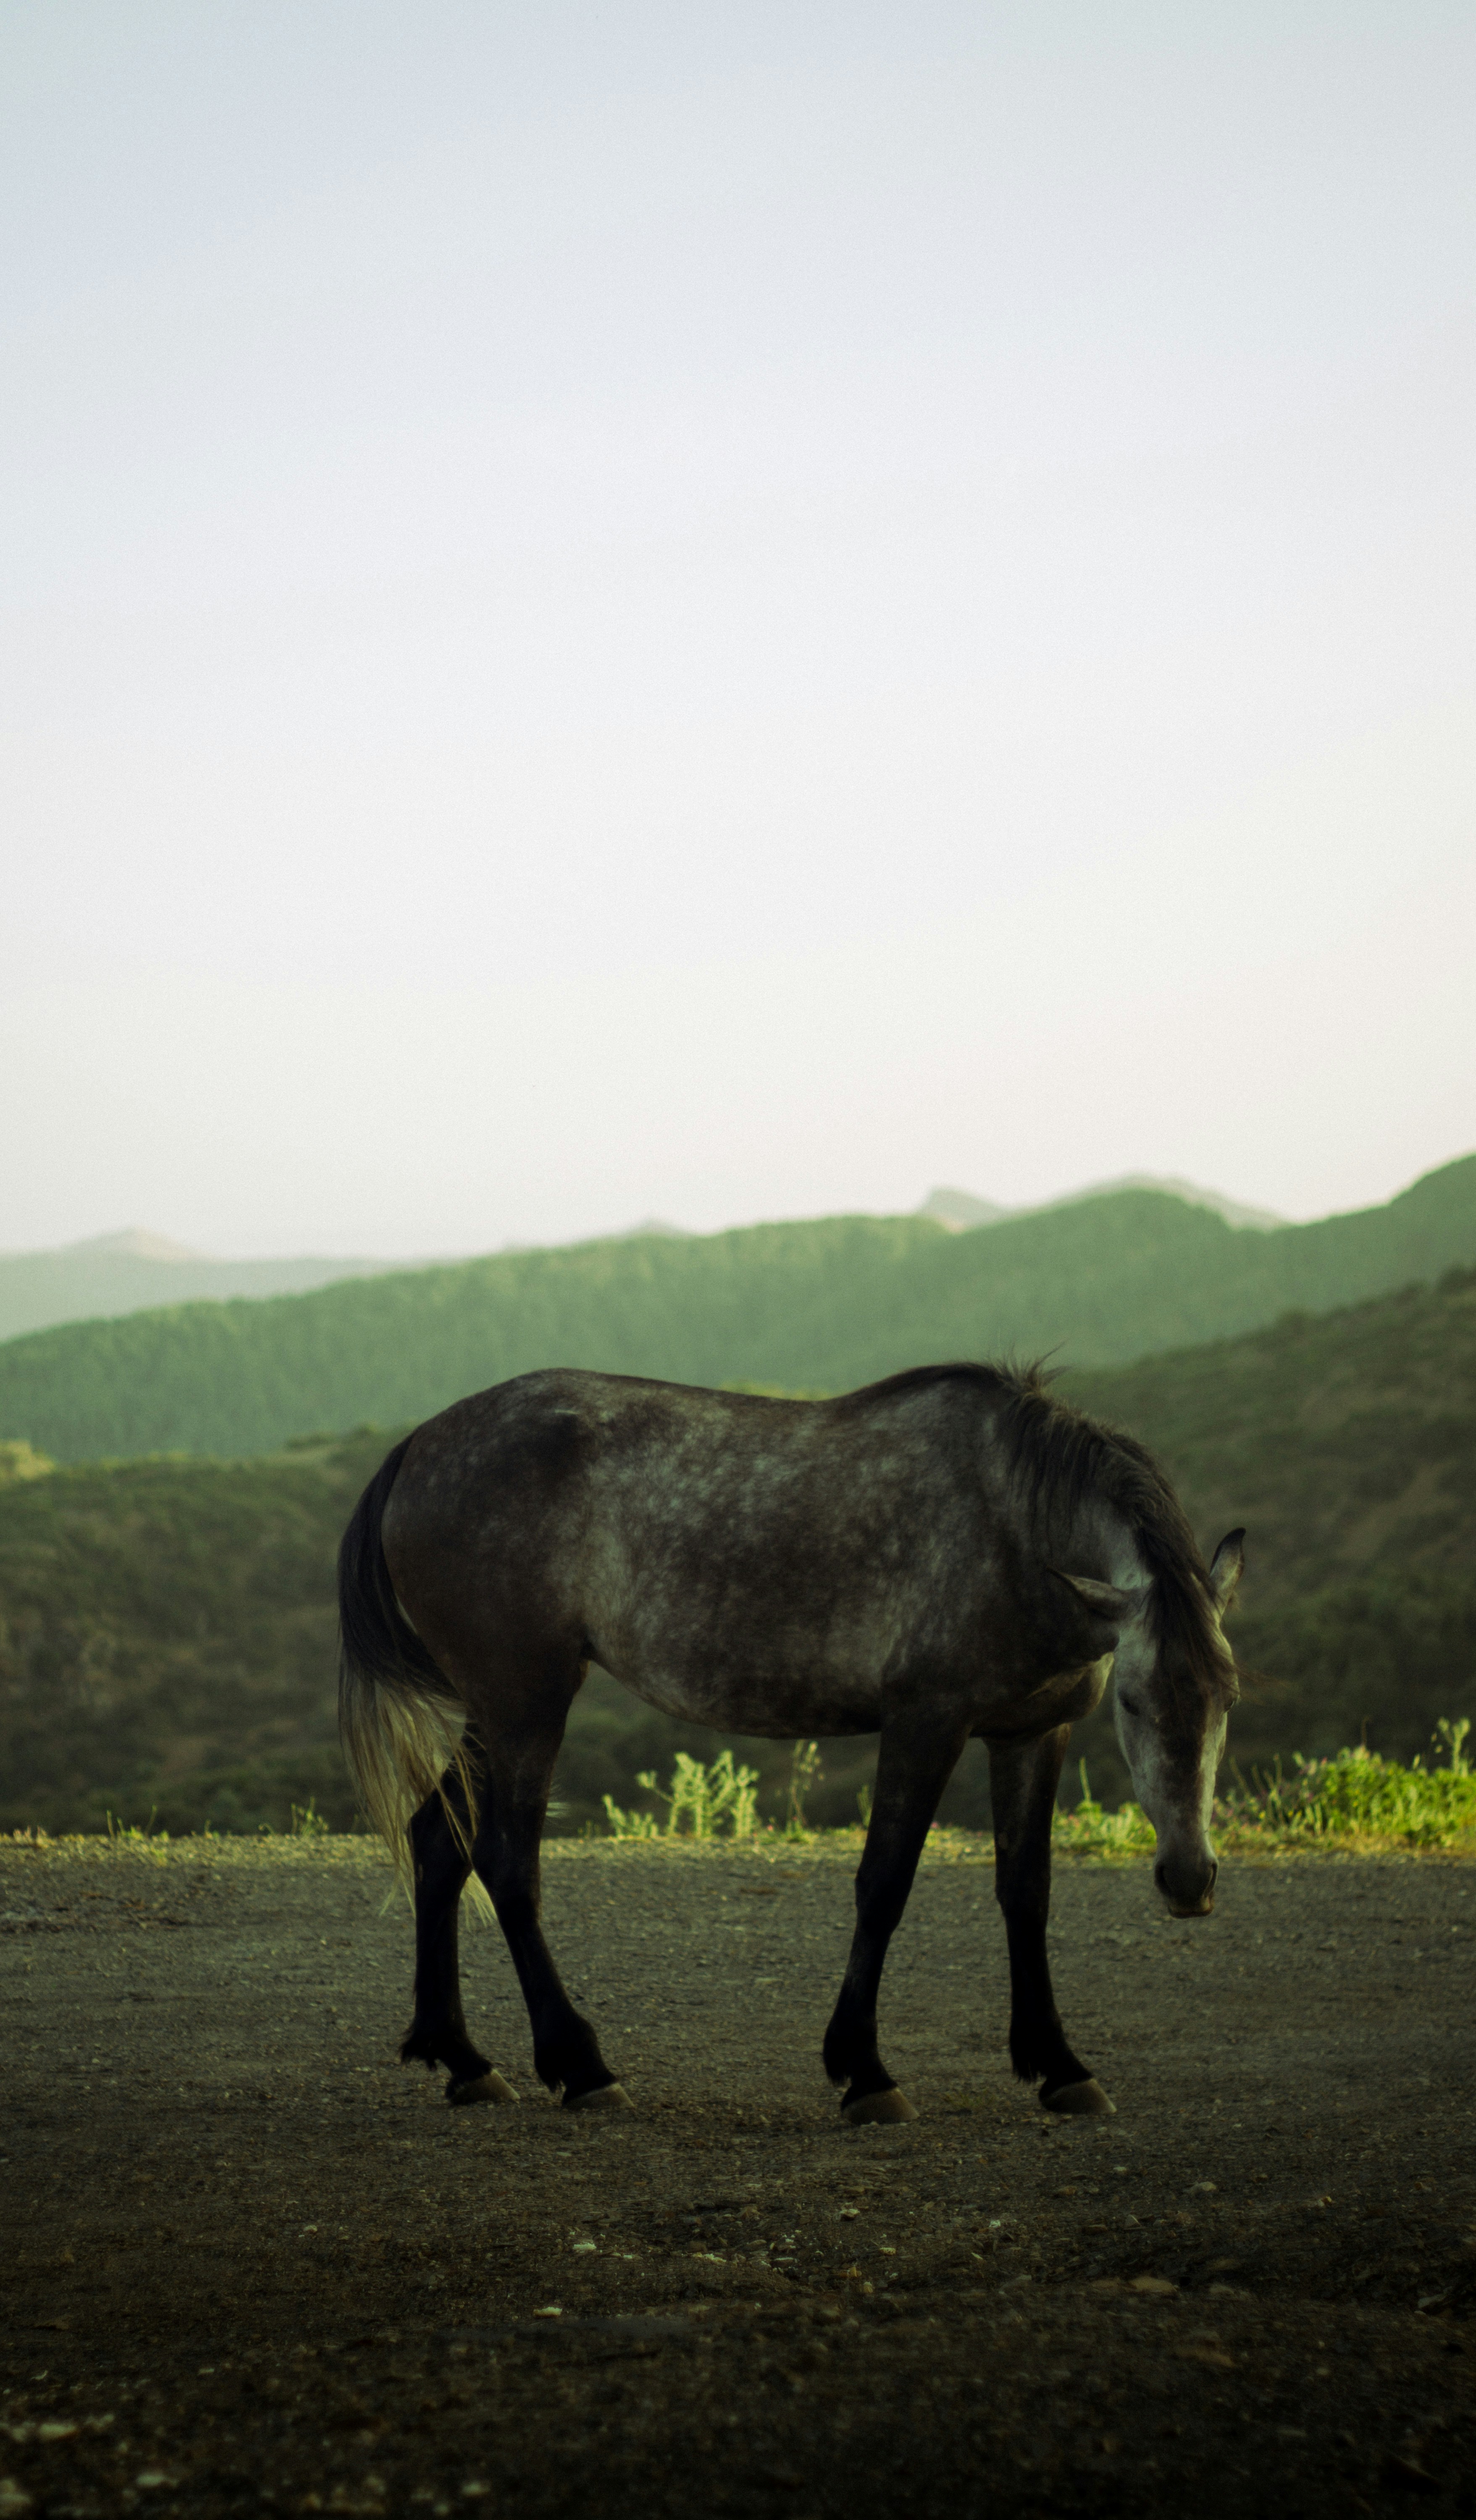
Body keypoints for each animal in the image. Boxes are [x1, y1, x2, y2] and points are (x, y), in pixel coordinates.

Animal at [337, 1361, 1243, 2124]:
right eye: (1133, 1702)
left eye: (1229, 1696)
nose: (1188, 1881)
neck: (1009, 1527)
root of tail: (417, 1448)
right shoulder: (924, 1724)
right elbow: (883, 1885)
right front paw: (864, 2073)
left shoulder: (1029, 1734)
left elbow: (1025, 1893)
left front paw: (1058, 2065)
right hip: (525, 1703)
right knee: (506, 1864)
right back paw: (582, 2067)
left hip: (492, 1712)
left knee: (437, 1842)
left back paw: (463, 2061)